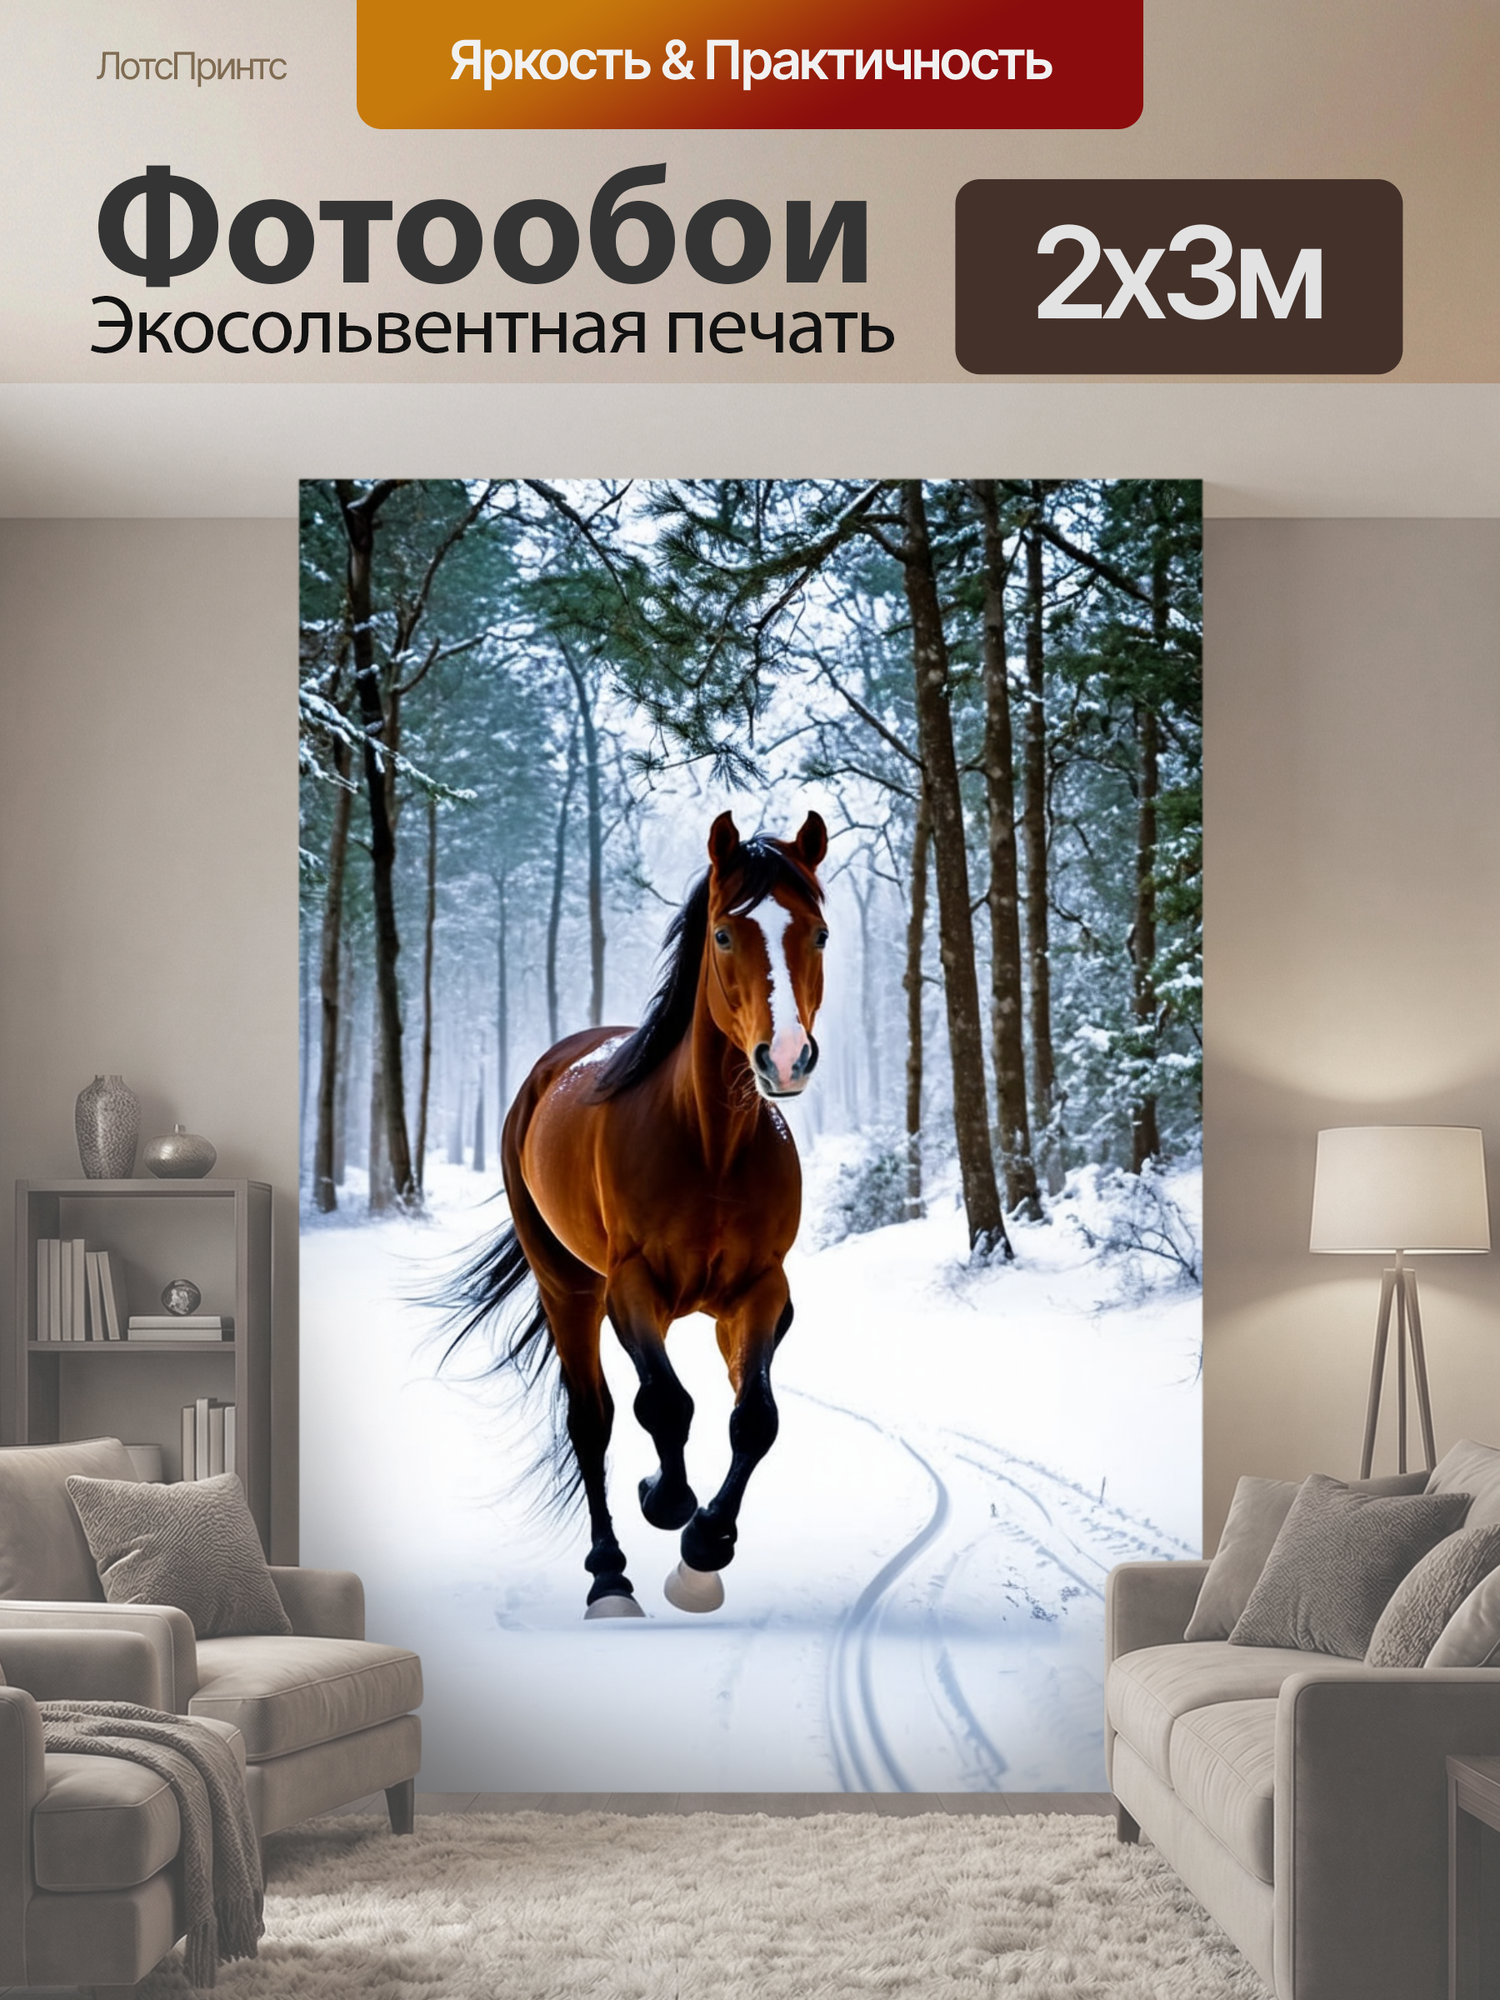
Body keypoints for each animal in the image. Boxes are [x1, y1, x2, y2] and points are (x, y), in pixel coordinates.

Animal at [443, 809, 829, 1618]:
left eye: (818, 934)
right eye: (724, 934)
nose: (784, 1059)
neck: (711, 1150)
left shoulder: (761, 1293)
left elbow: (755, 1418)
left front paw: (704, 1551)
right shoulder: (631, 1286)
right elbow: (664, 1406)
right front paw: (665, 1500)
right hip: (568, 1287)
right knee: (591, 1422)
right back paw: (610, 1579)